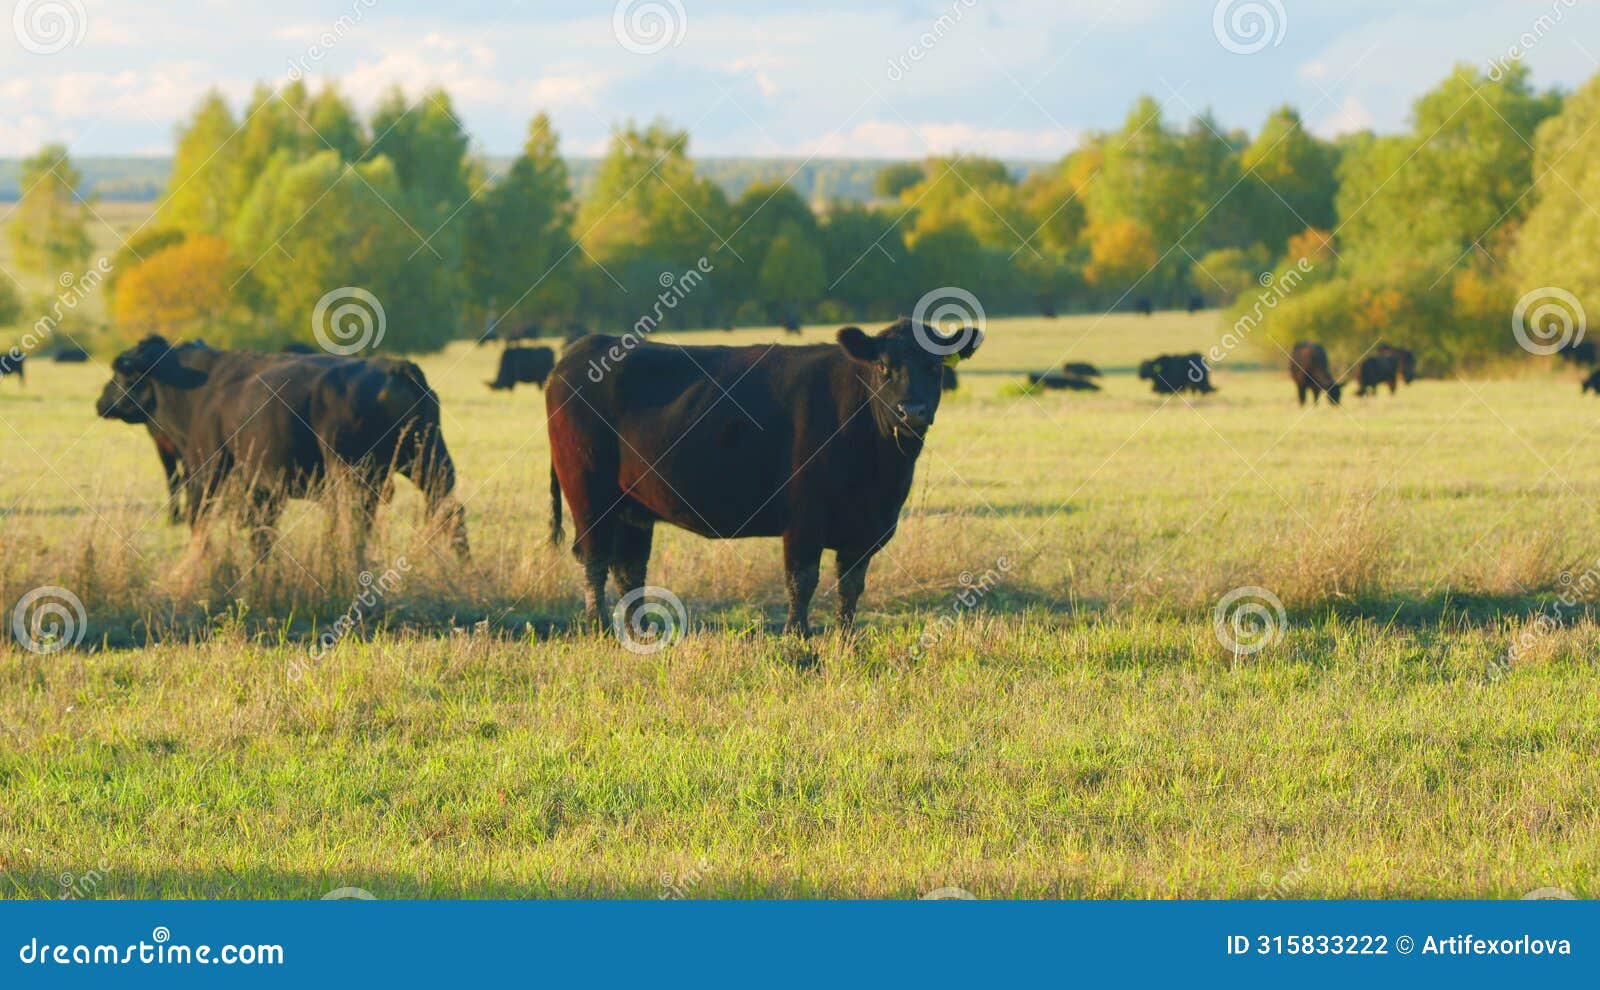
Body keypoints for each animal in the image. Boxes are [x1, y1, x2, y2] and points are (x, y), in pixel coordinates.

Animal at [95, 336, 468, 561]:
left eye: (123, 374)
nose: (101, 403)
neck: (202, 388)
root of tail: (395, 367)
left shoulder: (207, 474)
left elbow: (200, 524)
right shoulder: (263, 492)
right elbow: (261, 538)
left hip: (353, 476)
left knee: (356, 524)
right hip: (430, 463)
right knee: (451, 511)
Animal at [545, 317, 982, 637]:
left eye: (935, 367)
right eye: (882, 367)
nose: (912, 411)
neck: (880, 473)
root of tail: (579, 352)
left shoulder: (868, 530)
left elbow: (851, 586)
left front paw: (845, 637)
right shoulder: (804, 519)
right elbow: (801, 580)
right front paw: (797, 635)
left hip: (633, 506)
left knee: (629, 566)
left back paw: (642, 630)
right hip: (588, 493)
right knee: (596, 559)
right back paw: (600, 628)